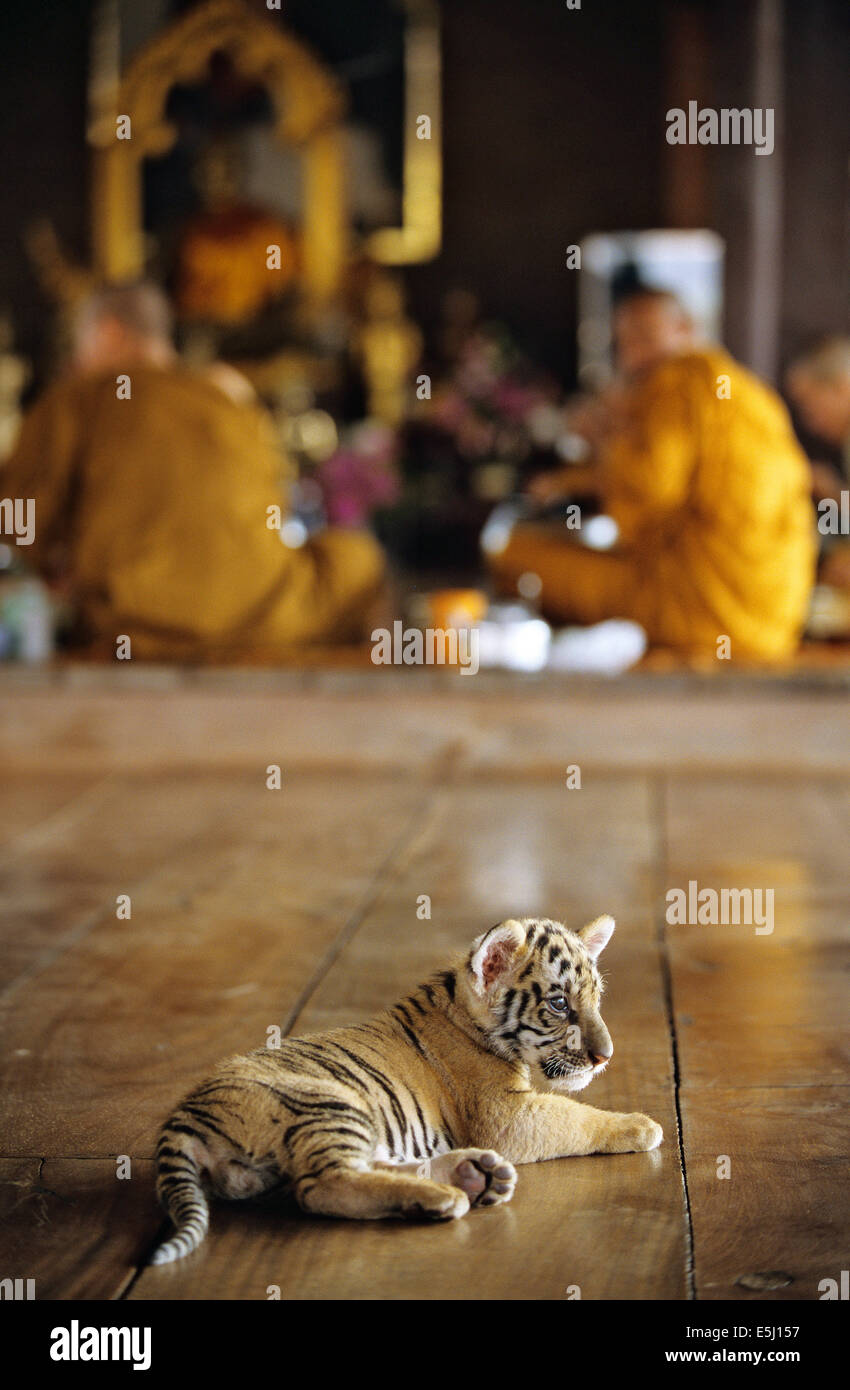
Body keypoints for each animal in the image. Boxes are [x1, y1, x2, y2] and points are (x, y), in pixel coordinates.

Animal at [150, 913, 663, 1263]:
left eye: (596, 999)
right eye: (559, 1004)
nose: (606, 1057)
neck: (463, 1012)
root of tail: (182, 1119)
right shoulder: (504, 1116)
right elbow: (578, 1116)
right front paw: (642, 1126)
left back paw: (474, 1176)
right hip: (328, 1104)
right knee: (320, 1185)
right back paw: (448, 1197)